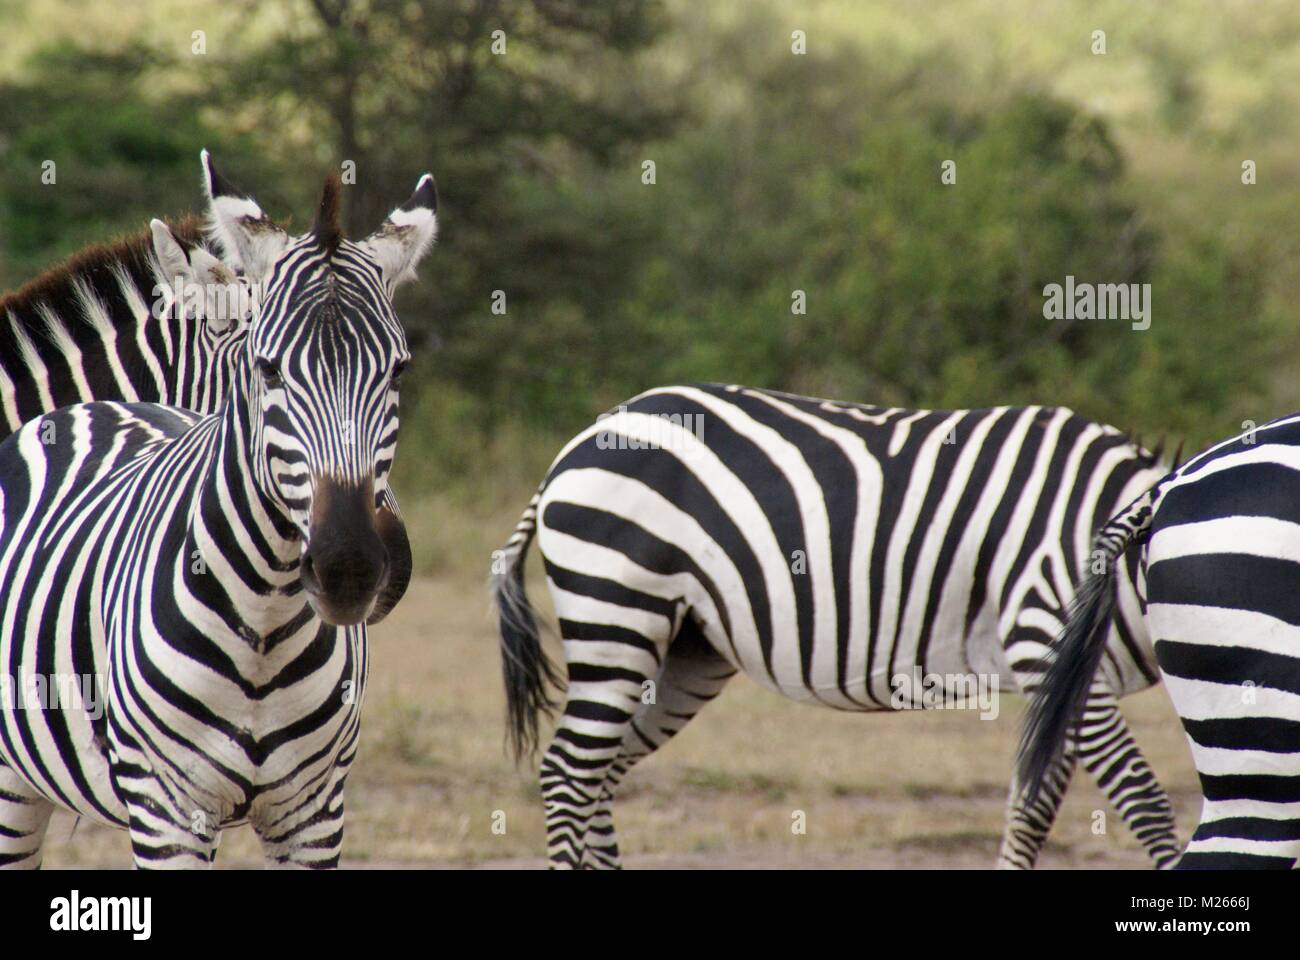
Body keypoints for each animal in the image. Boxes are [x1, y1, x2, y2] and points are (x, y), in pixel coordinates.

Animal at [0, 154, 437, 868]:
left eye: (398, 372)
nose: (359, 567)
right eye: (267, 368)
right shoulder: (168, 810)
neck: (263, 623)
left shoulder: (314, 811)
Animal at [492, 383, 1181, 868]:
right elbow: (1145, 804)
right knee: (570, 772)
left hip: (684, 650)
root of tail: (580, 441)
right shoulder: (1045, 637)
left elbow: (1030, 814)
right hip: (617, 611)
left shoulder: (1056, 685)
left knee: (601, 772)